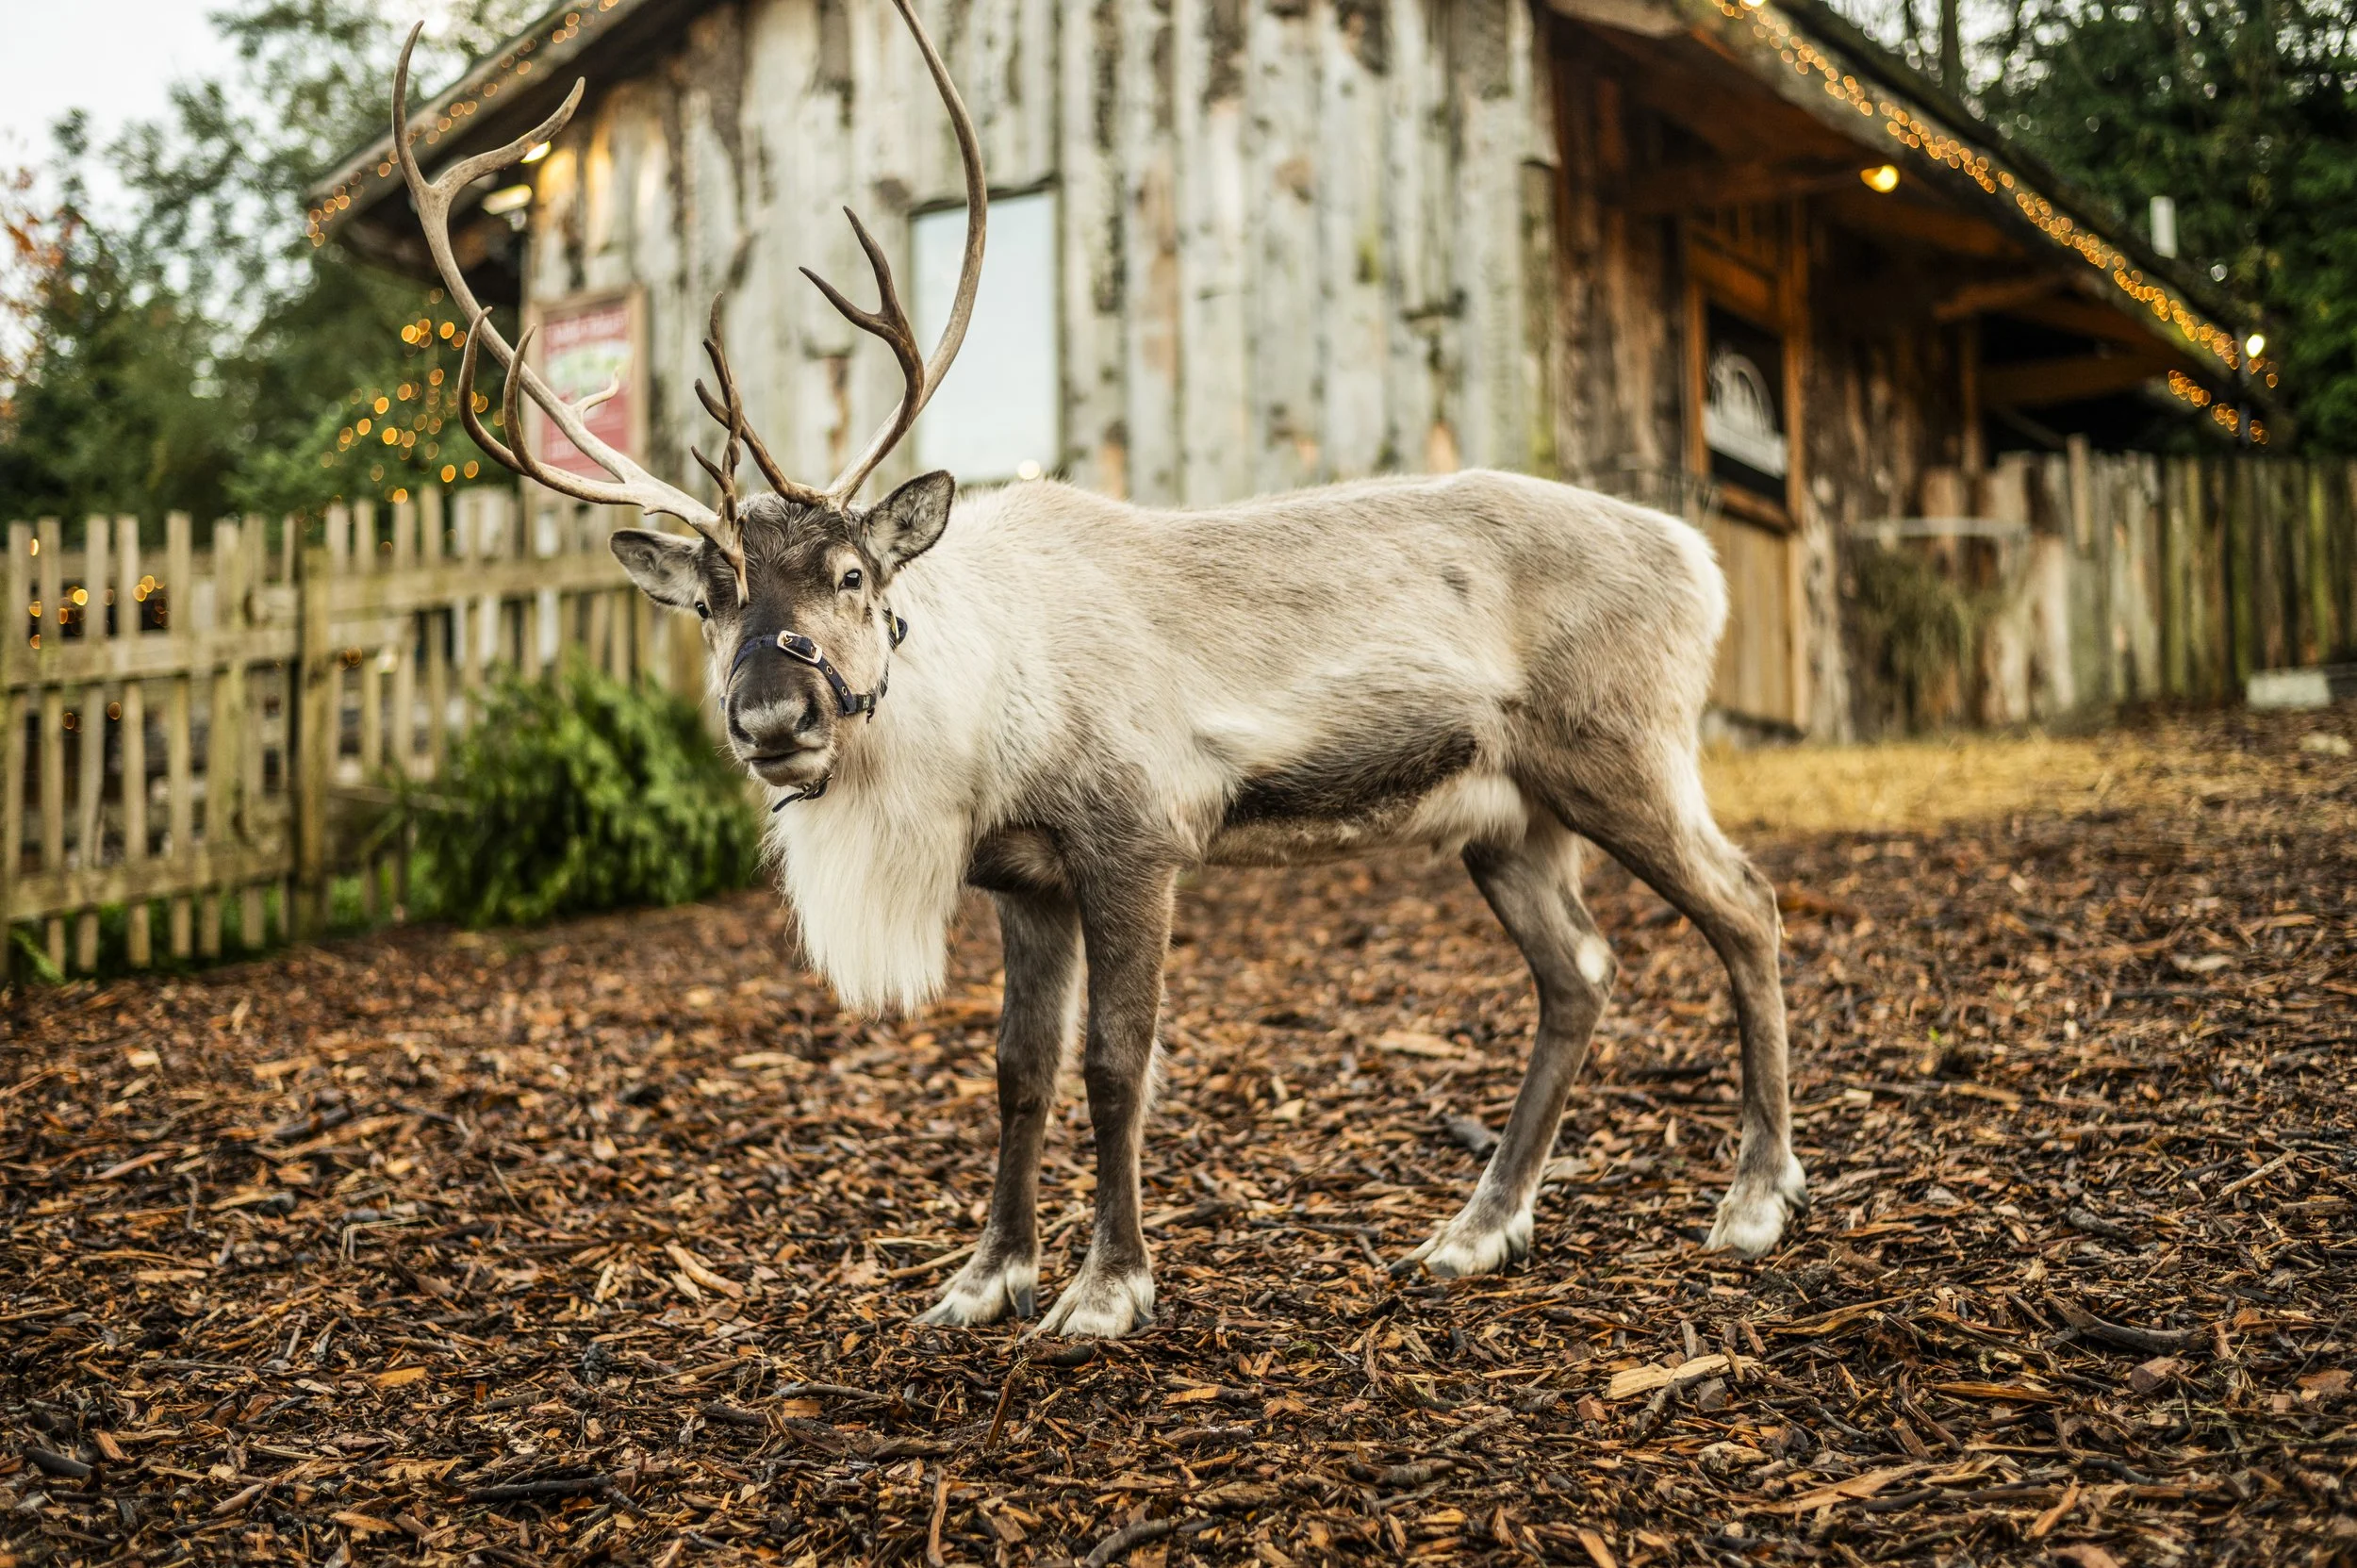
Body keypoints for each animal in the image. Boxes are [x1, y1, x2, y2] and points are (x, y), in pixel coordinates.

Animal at [391, 0, 1805, 1339]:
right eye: (715, 598)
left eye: (850, 574)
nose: (770, 712)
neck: (982, 710)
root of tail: (1698, 556)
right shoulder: (1025, 881)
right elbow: (1018, 1069)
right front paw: (983, 1278)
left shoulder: (1135, 842)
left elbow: (1117, 1061)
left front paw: (1107, 1287)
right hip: (1506, 816)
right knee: (1579, 972)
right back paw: (1478, 1226)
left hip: (1623, 755)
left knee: (1746, 905)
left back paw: (1754, 1197)